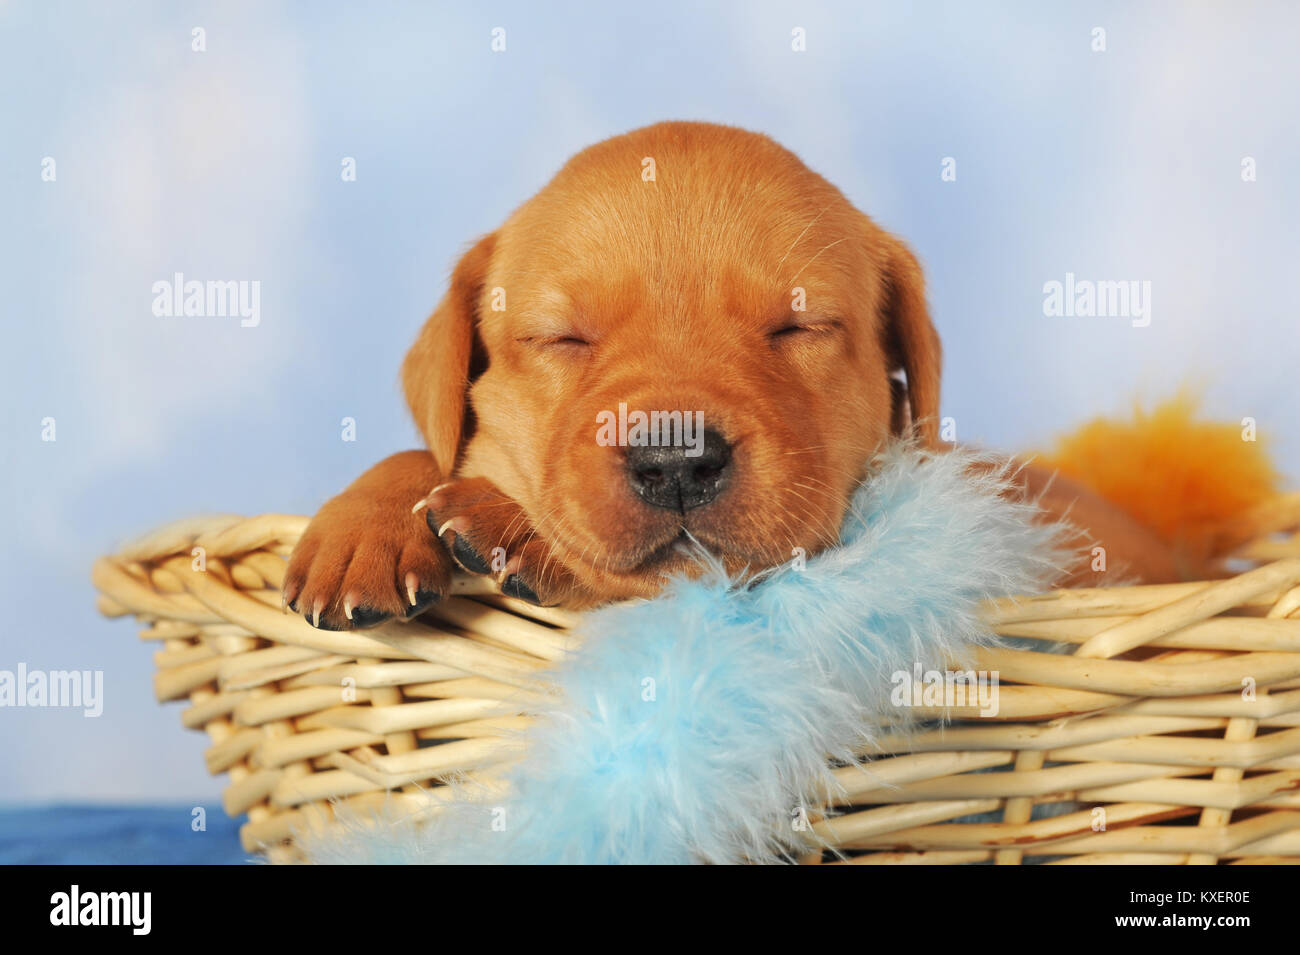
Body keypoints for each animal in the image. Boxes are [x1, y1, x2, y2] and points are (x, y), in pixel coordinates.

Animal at [282, 119, 1180, 631]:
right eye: (564, 338)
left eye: (797, 326)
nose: (677, 461)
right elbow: (427, 452)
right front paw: (367, 524)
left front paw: (517, 530)